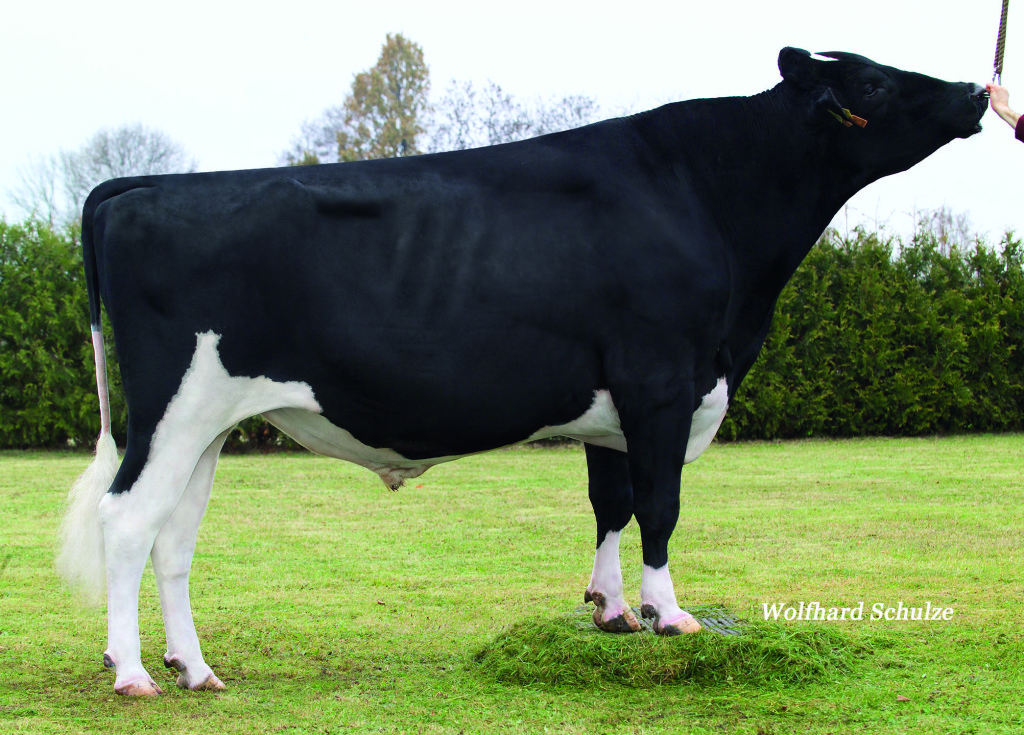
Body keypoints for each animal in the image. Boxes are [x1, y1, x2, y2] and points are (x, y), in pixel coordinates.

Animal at [58, 48, 986, 696]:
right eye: (873, 83)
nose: (977, 92)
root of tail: (141, 188)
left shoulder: (616, 403)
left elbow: (611, 503)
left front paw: (612, 609)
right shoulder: (662, 380)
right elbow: (661, 506)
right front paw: (670, 613)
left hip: (206, 423)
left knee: (174, 537)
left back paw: (193, 667)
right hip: (175, 408)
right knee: (128, 521)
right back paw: (132, 672)